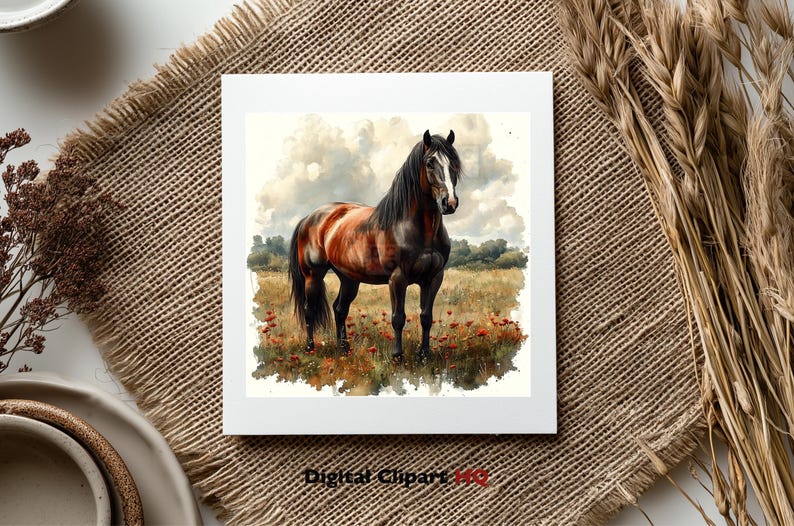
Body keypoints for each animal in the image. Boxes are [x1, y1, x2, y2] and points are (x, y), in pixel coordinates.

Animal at [288, 129, 461, 361]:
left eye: (453, 162)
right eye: (430, 163)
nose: (449, 203)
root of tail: (309, 218)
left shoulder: (433, 278)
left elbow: (426, 317)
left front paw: (424, 355)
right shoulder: (397, 278)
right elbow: (398, 317)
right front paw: (397, 356)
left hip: (349, 278)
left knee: (340, 309)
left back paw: (343, 348)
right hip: (313, 275)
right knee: (310, 310)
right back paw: (310, 348)